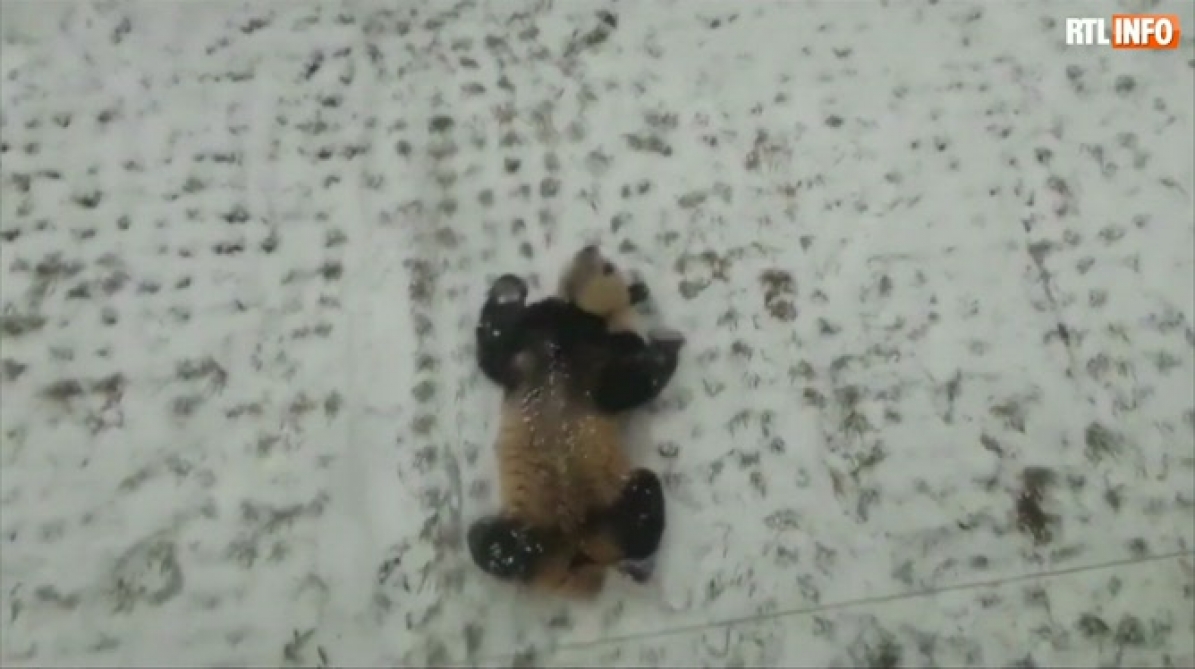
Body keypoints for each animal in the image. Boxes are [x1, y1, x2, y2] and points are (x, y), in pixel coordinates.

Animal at [466, 245, 686, 598]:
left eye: (608, 266)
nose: (589, 248)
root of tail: (573, 556)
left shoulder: (607, 349)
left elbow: (625, 386)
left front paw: (663, 343)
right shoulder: (534, 336)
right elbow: (495, 353)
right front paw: (509, 288)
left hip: (612, 502)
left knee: (643, 502)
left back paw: (636, 564)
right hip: (525, 523)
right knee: (486, 541)